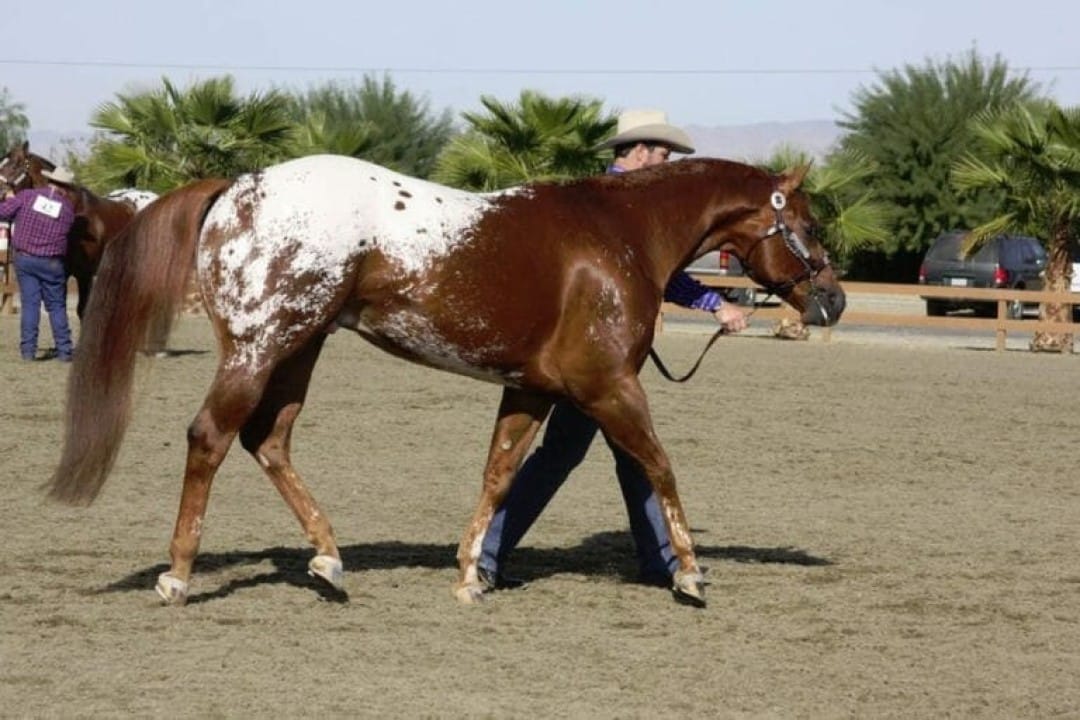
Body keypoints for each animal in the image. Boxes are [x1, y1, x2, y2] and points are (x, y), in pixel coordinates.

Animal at [48, 154, 845, 607]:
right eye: (808, 224)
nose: (833, 299)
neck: (618, 233)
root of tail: (240, 187)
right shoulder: (609, 387)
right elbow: (658, 466)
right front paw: (690, 574)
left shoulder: (531, 389)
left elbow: (500, 474)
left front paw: (469, 574)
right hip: (259, 347)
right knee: (211, 437)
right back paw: (179, 575)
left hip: (300, 348)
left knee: (267, 441)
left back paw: (328, 561)